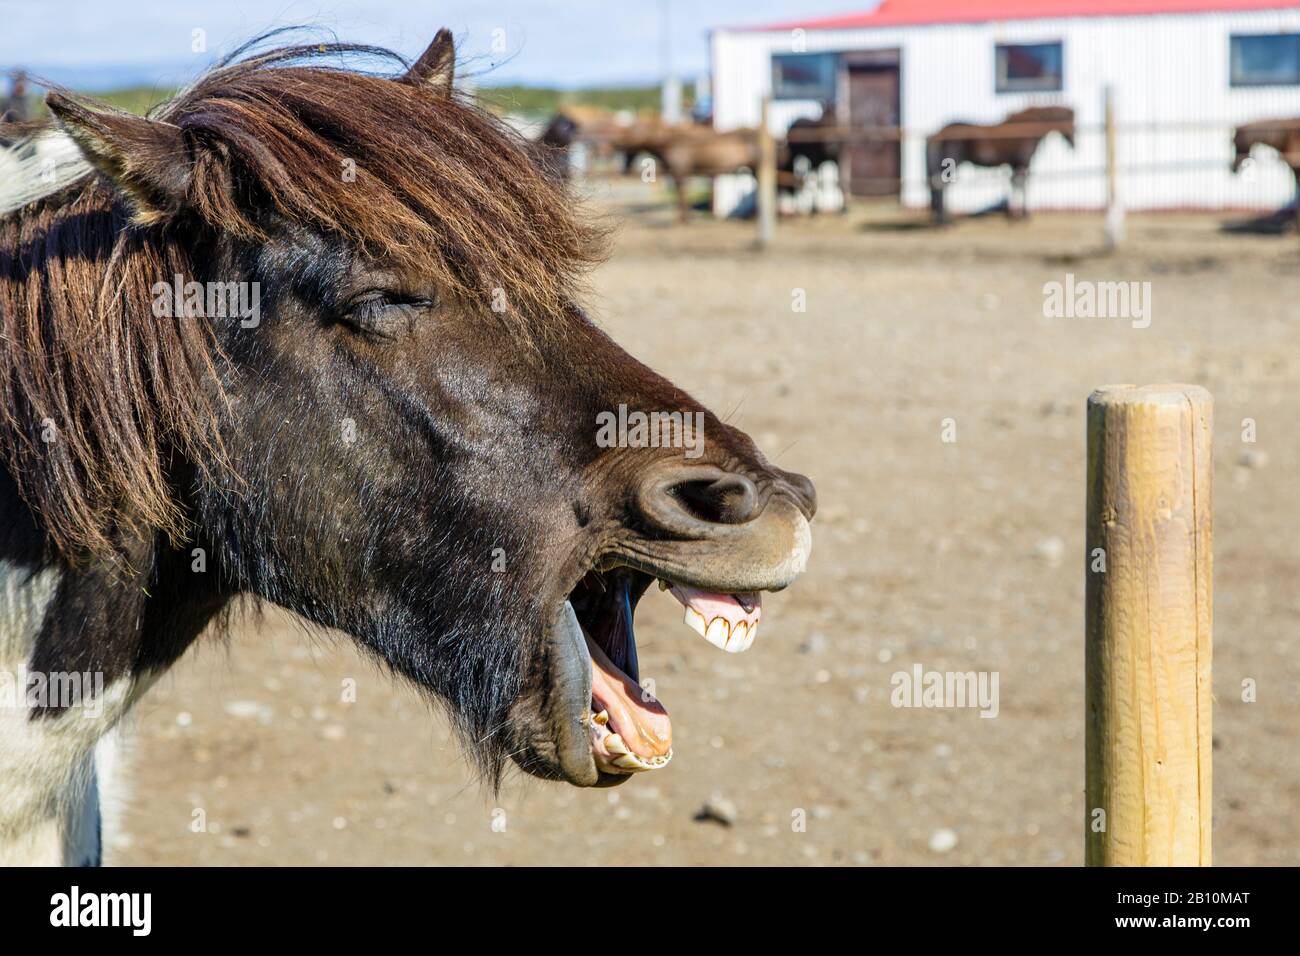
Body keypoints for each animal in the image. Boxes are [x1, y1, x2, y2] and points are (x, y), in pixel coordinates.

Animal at [926, 106, 1075, 223]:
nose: (1074, 145)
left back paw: (942, 220)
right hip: (952, 164)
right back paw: (945, 221)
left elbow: (1014, 184)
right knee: (942, 186)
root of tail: (940, 132)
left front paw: (1011, 214)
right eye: (1071, 122)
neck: (1026, 128)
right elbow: (1022, 185)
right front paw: (1023, 215)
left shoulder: (1014, 165)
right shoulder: (1023, 163)